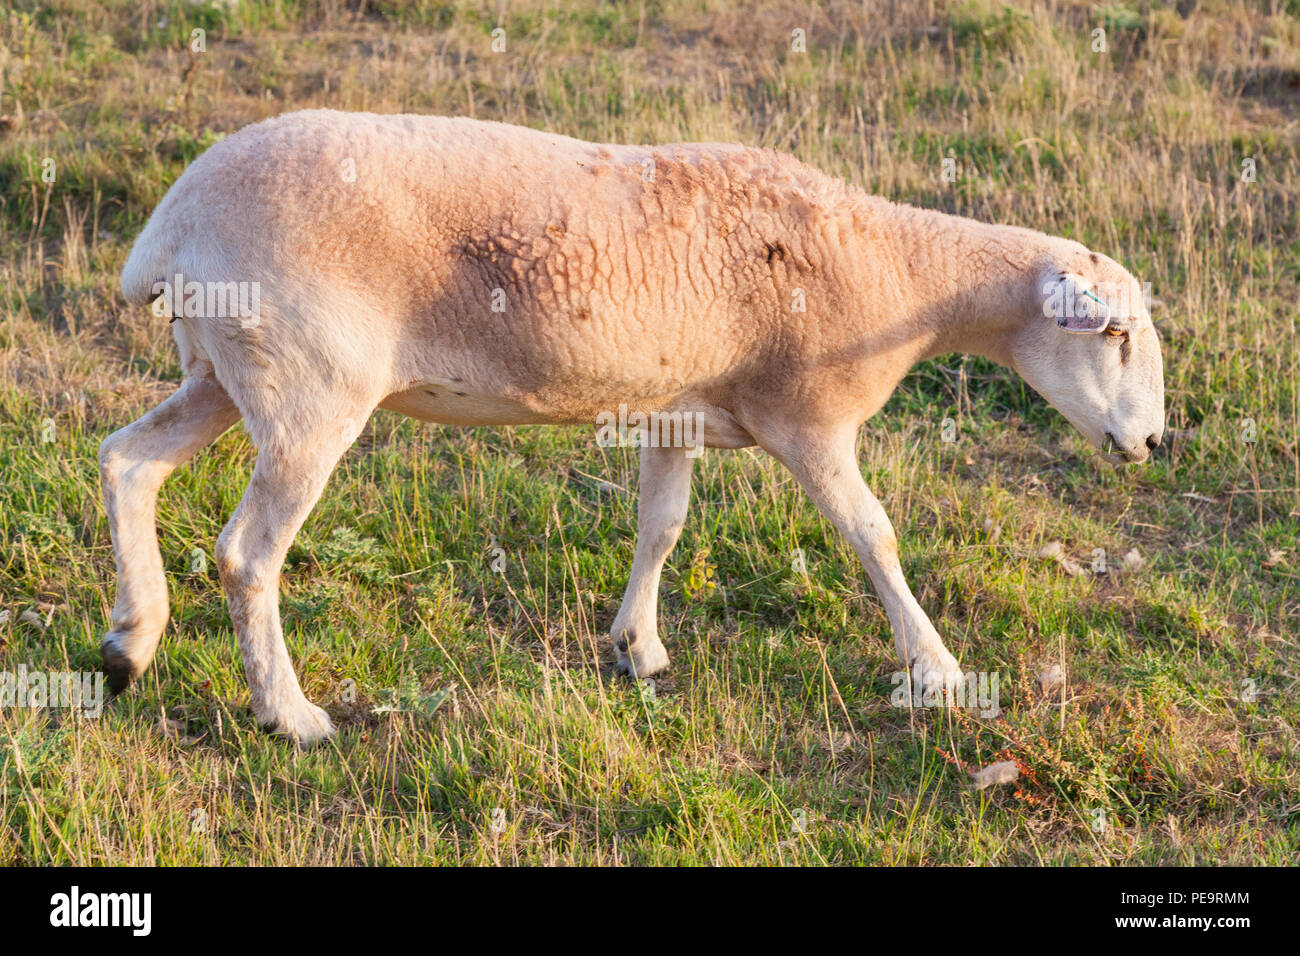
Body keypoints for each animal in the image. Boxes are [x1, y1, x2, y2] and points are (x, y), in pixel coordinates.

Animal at [101, 110, 1165, 742]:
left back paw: (129, 645)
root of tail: (173, 223)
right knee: (246, 553)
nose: (1154, 443)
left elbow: (662, 527)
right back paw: (290, 716)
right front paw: (938, 673)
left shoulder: (674, 413)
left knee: (127, 462)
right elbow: (873, 535)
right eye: (1113, 335)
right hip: (309, 387)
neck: (899, 273)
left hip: (222, 369)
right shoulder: (809, 419)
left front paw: (636, 648)